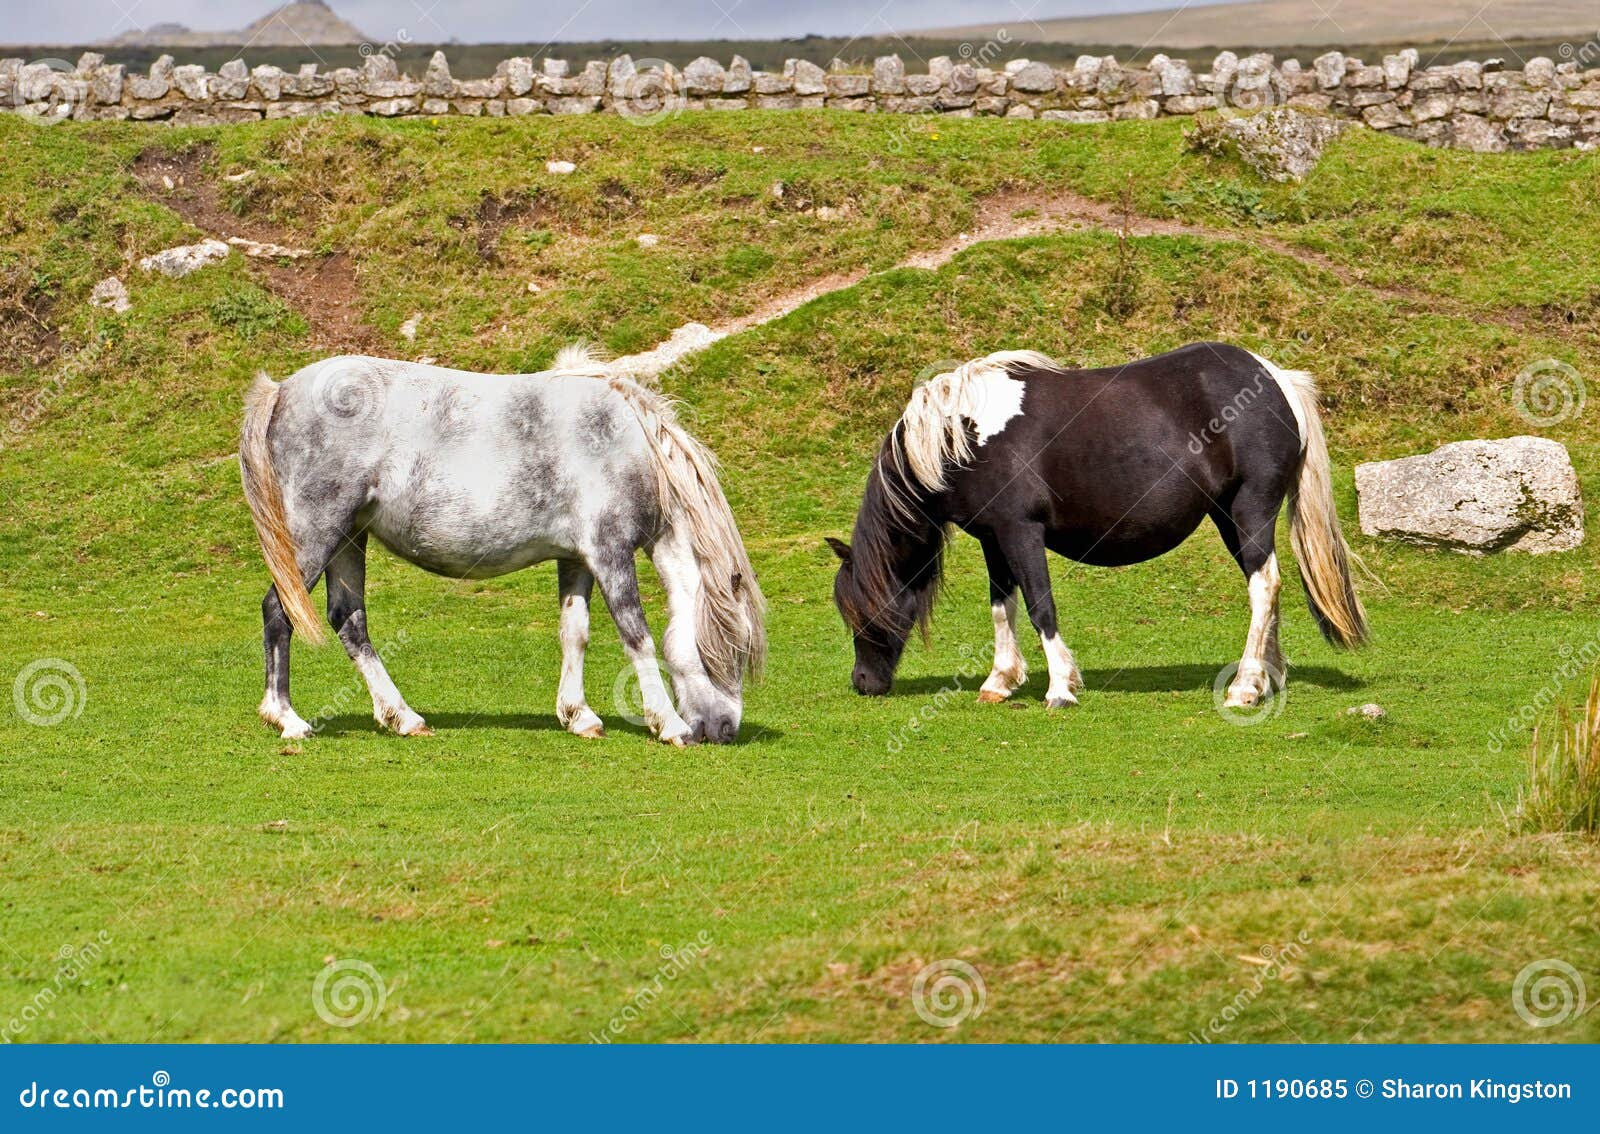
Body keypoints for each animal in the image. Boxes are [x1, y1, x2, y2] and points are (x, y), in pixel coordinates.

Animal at [239, 345, 765, 745]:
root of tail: (281, 391)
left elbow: (575, 632)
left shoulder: (576, 559)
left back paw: (402, 717)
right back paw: (286, 718)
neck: (623, 441)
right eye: (735, 649)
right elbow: (637, 634)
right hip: (316, 534)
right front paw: (669, 725)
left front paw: (579, 716)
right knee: (278, 610)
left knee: (349, 621)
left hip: (349, 538)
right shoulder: (610, 552)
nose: (726, 730)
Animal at [827, 342, 1367, 709]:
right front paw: (1000, 681)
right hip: (1228, 517)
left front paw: (1060, 688)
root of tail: (1275, 377)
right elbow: (1003, 608)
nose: (863, 683)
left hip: (1251, 508)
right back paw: (1266, 678)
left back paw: (1243, 688)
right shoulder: (994, 540)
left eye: (864, 613)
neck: (962, 436)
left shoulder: (1021, 533)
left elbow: (1040, 605)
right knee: (1267, 587)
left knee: (1263, 584)